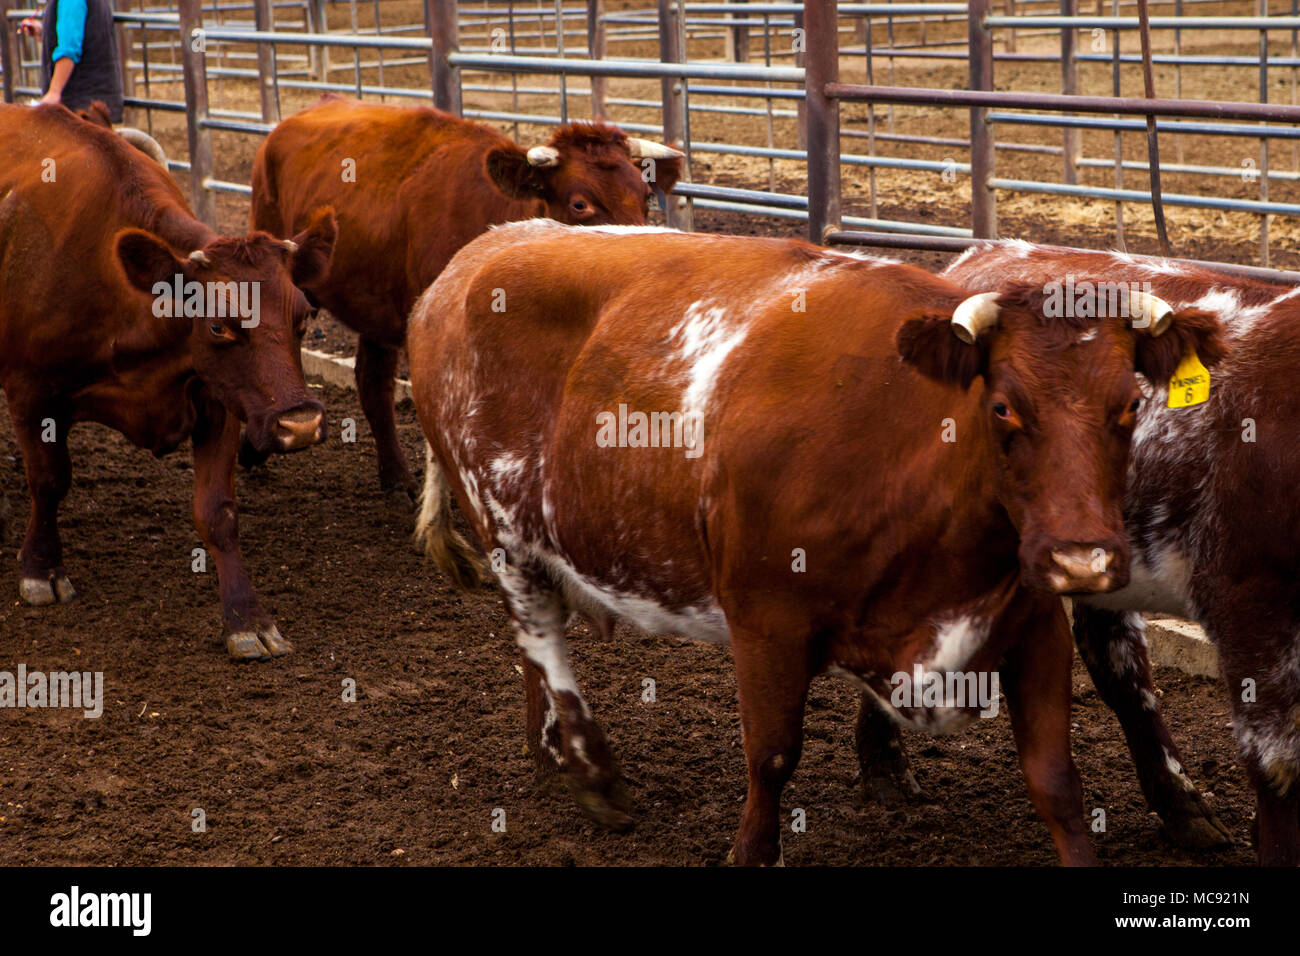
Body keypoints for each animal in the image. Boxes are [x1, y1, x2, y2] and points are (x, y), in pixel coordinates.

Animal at [0, 103, 337, 661]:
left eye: (305, 316)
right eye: (219, 325)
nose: (302, 424)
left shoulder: (218, 402)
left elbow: (218, 512)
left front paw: (247, 619)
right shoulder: (30, 392)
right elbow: (48, 479)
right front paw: (40, 569)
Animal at [406, 220, 1225, 865]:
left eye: (1130, 405)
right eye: (1002, 406)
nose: (1082, 560)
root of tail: (480, 249)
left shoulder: (1031, 628)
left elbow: (1058, 784)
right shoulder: (766, 620)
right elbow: (771, 759)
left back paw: (546, 751)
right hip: (503, 526)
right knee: (540, 631)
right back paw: (586, 766)